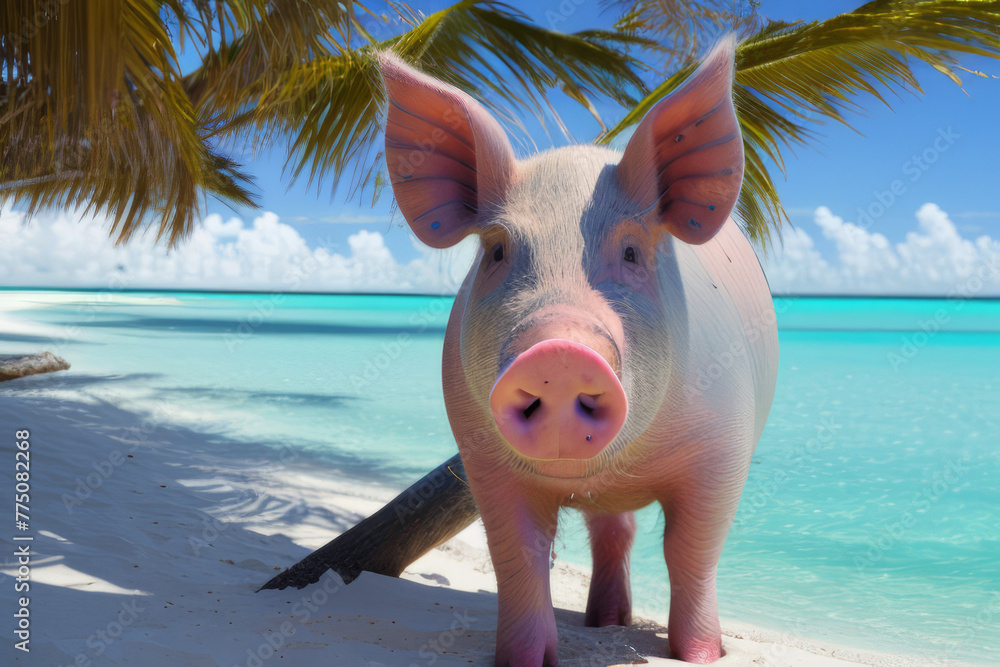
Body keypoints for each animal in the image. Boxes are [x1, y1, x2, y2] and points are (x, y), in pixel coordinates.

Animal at [380, 36, 778, 665]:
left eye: (633, 251)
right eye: (497, 250)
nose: (559, 356)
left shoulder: (725, 444)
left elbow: (692, 548)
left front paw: (700, 656)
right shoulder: (480, 453)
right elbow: (516, 552)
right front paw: (523, 660)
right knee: (612, 532)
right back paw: (602, 623)